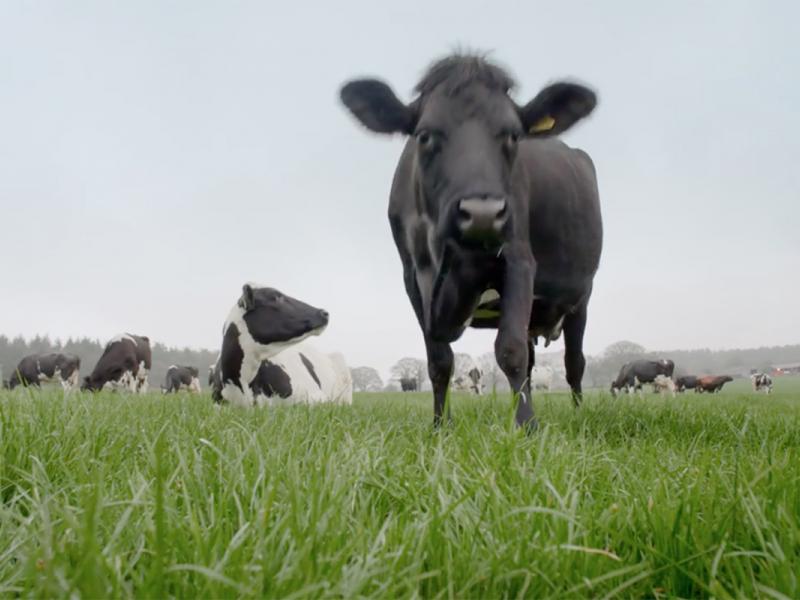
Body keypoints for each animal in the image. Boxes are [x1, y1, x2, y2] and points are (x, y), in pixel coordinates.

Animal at [340, 53, 601, 429]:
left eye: (513, 136)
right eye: (424, 136)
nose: (482, 213)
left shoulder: (518, 260)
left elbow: (510, 351)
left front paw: (527, 427)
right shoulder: (412, 277)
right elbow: (439, 360)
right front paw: (440, 426)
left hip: (581, 298)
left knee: (574, 362)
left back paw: (578, 414)